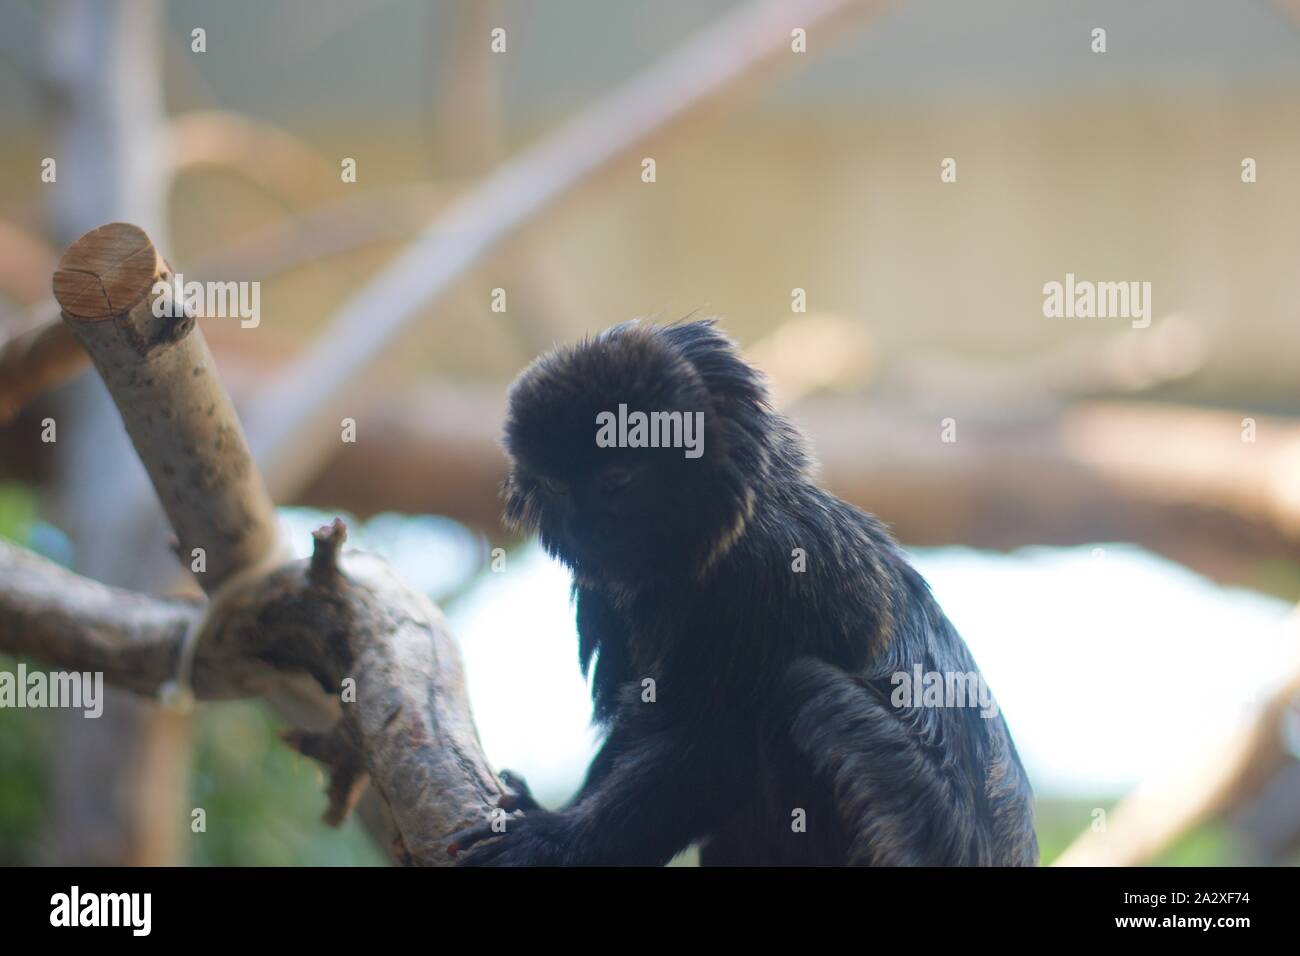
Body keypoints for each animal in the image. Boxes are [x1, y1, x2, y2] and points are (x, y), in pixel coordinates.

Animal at [451, 319, 1038, 866]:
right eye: (555, 484)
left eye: (616, 478)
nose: (580, 527)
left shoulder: (775, 569)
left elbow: (712, 744)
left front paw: (553, 842)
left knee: (805, 690)